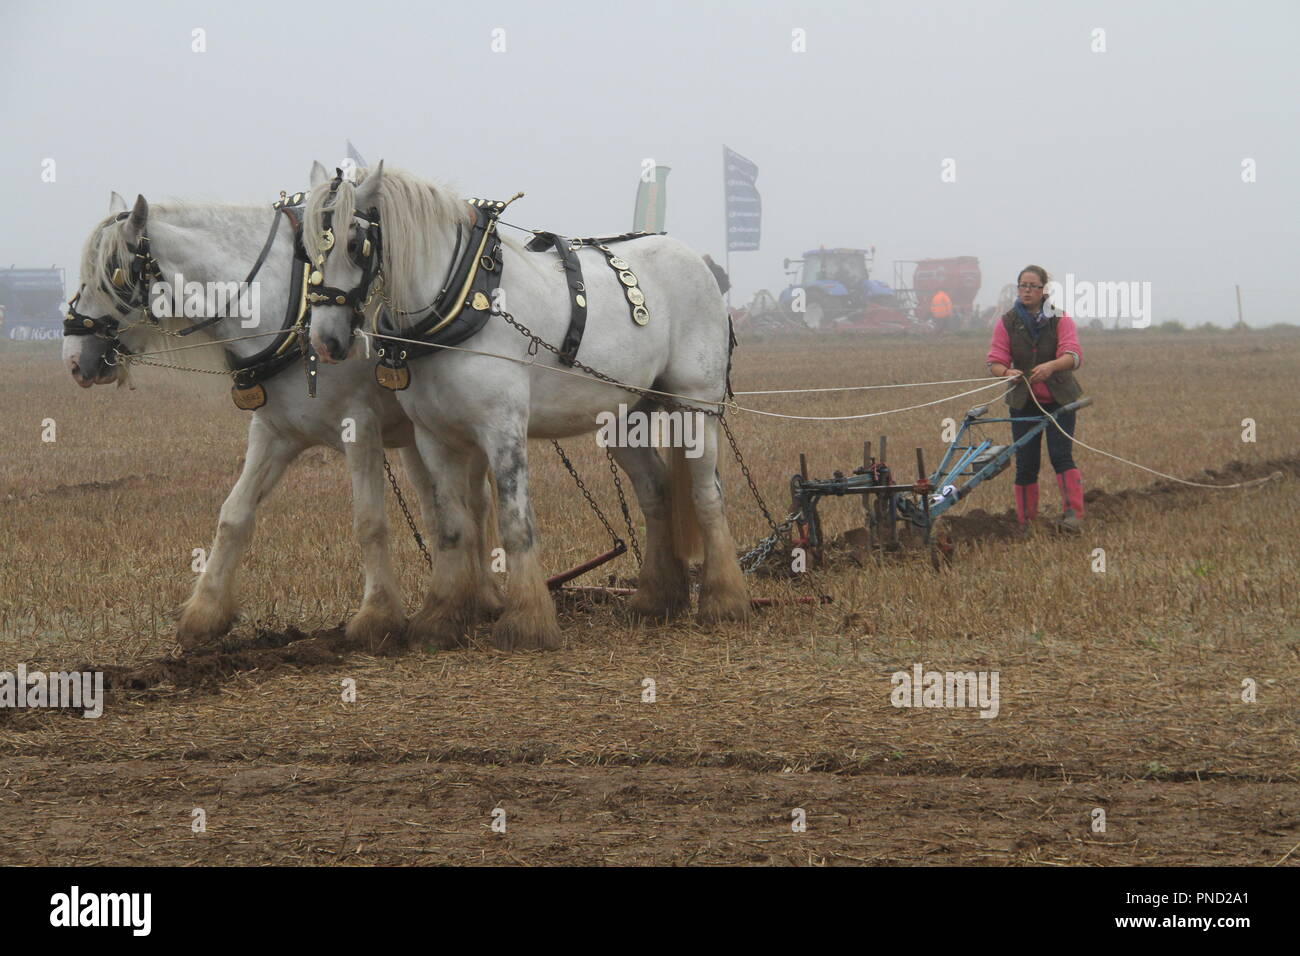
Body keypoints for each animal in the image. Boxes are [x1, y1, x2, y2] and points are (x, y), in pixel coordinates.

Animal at [62, 165, 499, 651]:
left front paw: (377, 616)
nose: (74, 359)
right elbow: (234, 514)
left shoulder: (360, 429)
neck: (290, 312)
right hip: (416, 437)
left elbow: (369, 521)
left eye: (112, 275)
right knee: (439, 506)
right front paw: (204, 613)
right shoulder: (274, 433)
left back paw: (483, 597)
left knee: (476, 503)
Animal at [303, 162, 749, 651]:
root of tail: (695, 260)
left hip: (695, 404)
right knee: (656, 492)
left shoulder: (502, 429)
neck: (460, 300)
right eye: (306, 250)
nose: (325, 341)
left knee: (707, 493)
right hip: (625, 416)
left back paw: (724, 600)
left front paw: (528, 622)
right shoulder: (435, 437)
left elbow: (516, 523)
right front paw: (440, 619)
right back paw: (657, 597)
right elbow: (453, 525)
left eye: (353, 243)